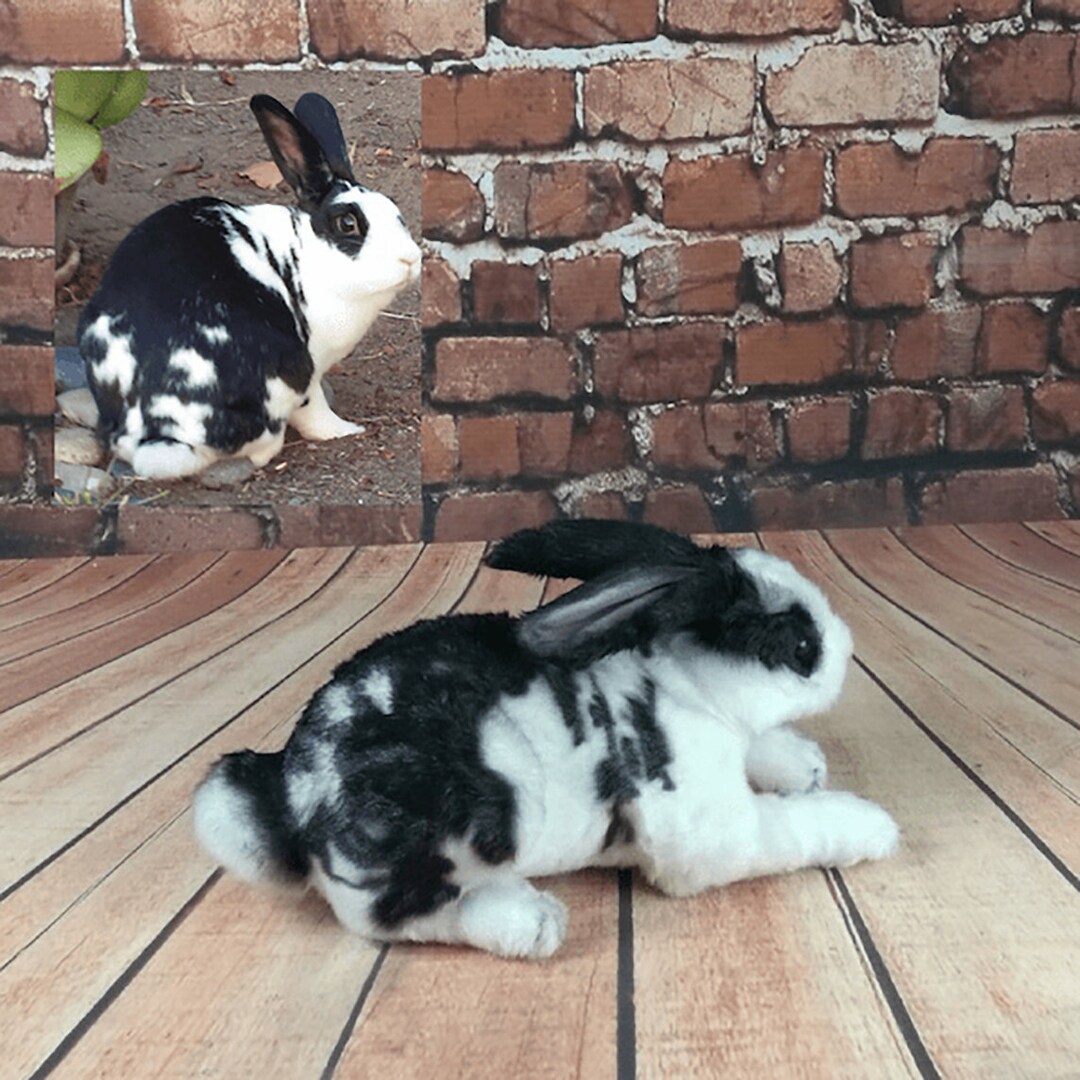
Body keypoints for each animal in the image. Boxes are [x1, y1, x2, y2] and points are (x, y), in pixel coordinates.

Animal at [76, 92, 421, 480]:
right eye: (348, 223)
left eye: (395, 211)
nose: (411, 259)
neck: (305, 255)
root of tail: (161, 433)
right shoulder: (311, 369)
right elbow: (316, 411)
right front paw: (346, 430)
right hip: (285, 377)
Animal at [193, 520, 899, 960]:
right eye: (800, 645)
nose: (847, 654)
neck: (681, 687)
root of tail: (287, 797)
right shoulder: (715, 833)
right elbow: (796, 830)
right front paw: (873, 826)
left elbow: (767, 751)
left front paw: (803, 763)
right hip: (455, 832)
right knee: (402, 918)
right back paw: (530, 923)